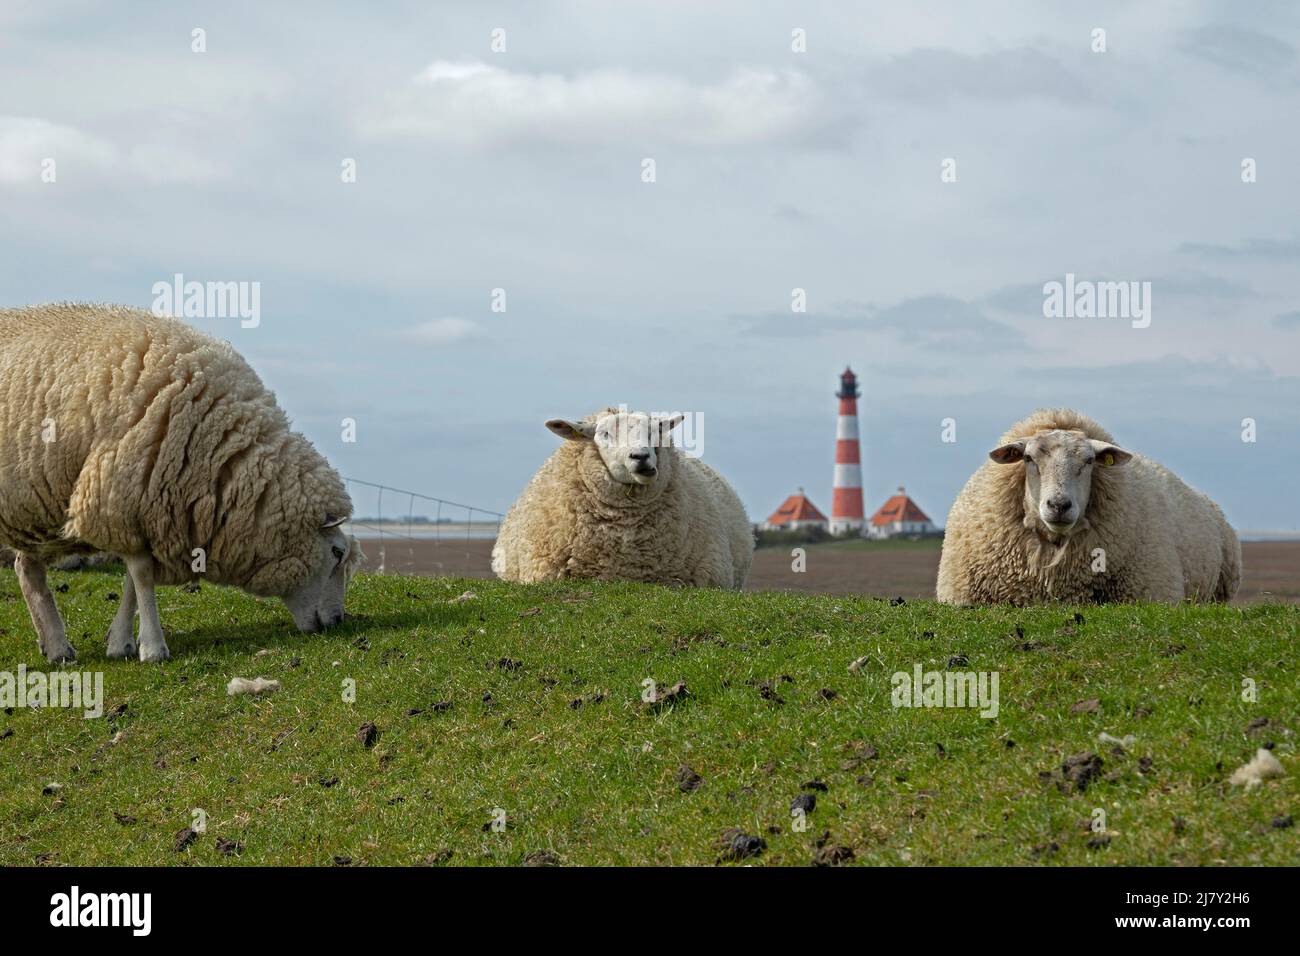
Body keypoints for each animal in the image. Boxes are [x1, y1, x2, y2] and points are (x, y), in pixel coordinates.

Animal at [0, 303, 364, 662]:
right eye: (336, 552)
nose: (337, 621)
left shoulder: (148, 512)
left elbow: (132, 581)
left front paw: (121, 643)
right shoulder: (121, 500)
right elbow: (142, 577)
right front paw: (153, 648)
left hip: (33, 511)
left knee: (27, 570)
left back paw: (56, 647)